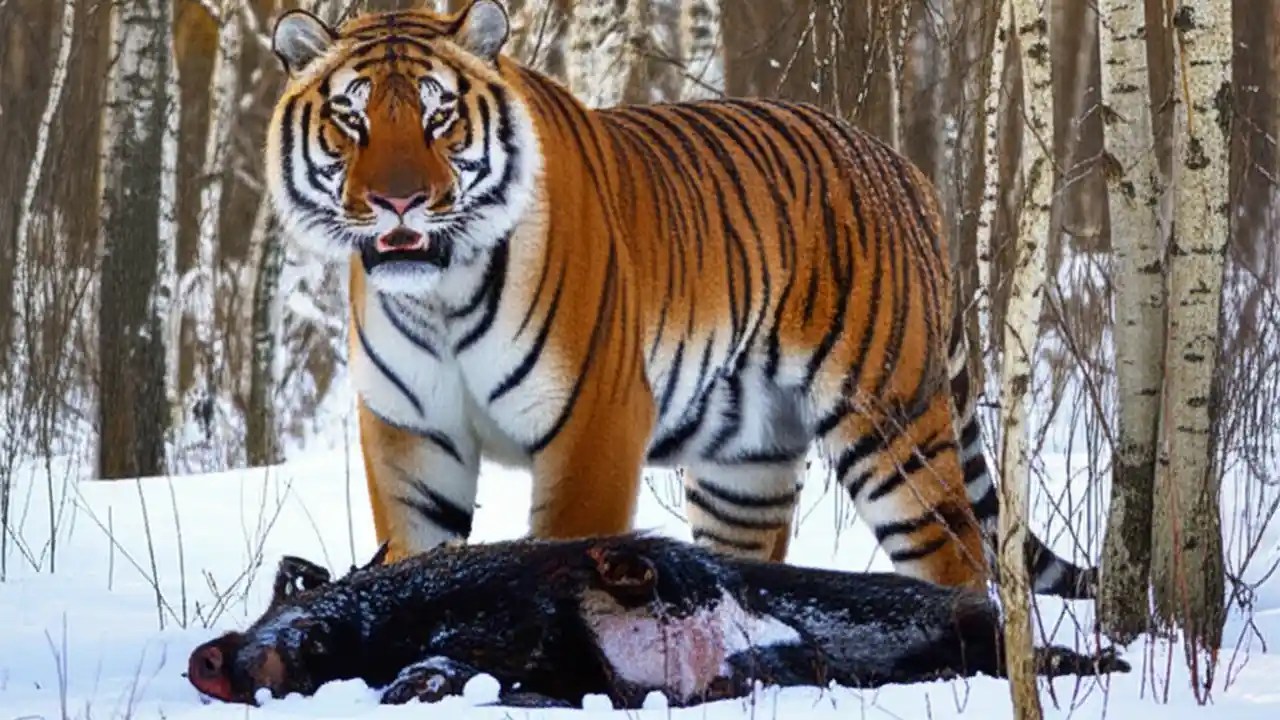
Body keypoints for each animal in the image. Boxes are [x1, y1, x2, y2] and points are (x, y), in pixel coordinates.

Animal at [264, 0, 1096, 598]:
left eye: (439, 115)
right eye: (351, 117)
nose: (398, 201)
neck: (439, 291)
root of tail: (904, 168)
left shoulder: (594, 421)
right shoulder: (411, 436)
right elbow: (418, 555)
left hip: (891, 425)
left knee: (955, 557)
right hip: (746, 467)